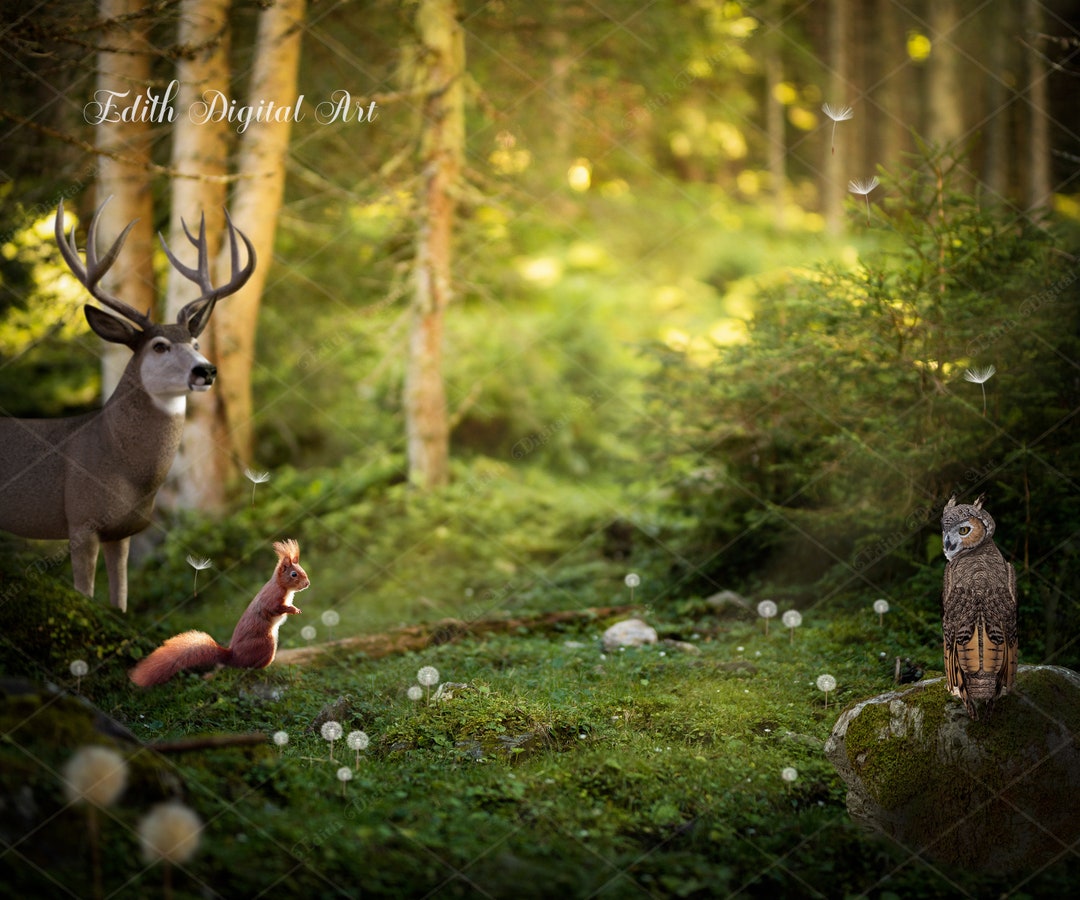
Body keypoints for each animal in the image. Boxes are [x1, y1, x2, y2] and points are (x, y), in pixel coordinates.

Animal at [0, 199, 255, 612]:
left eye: (195, 343)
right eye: (159, 346)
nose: (206, 370)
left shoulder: (123, 531)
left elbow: (120, 601)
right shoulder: (81, 521)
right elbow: (84, 594)